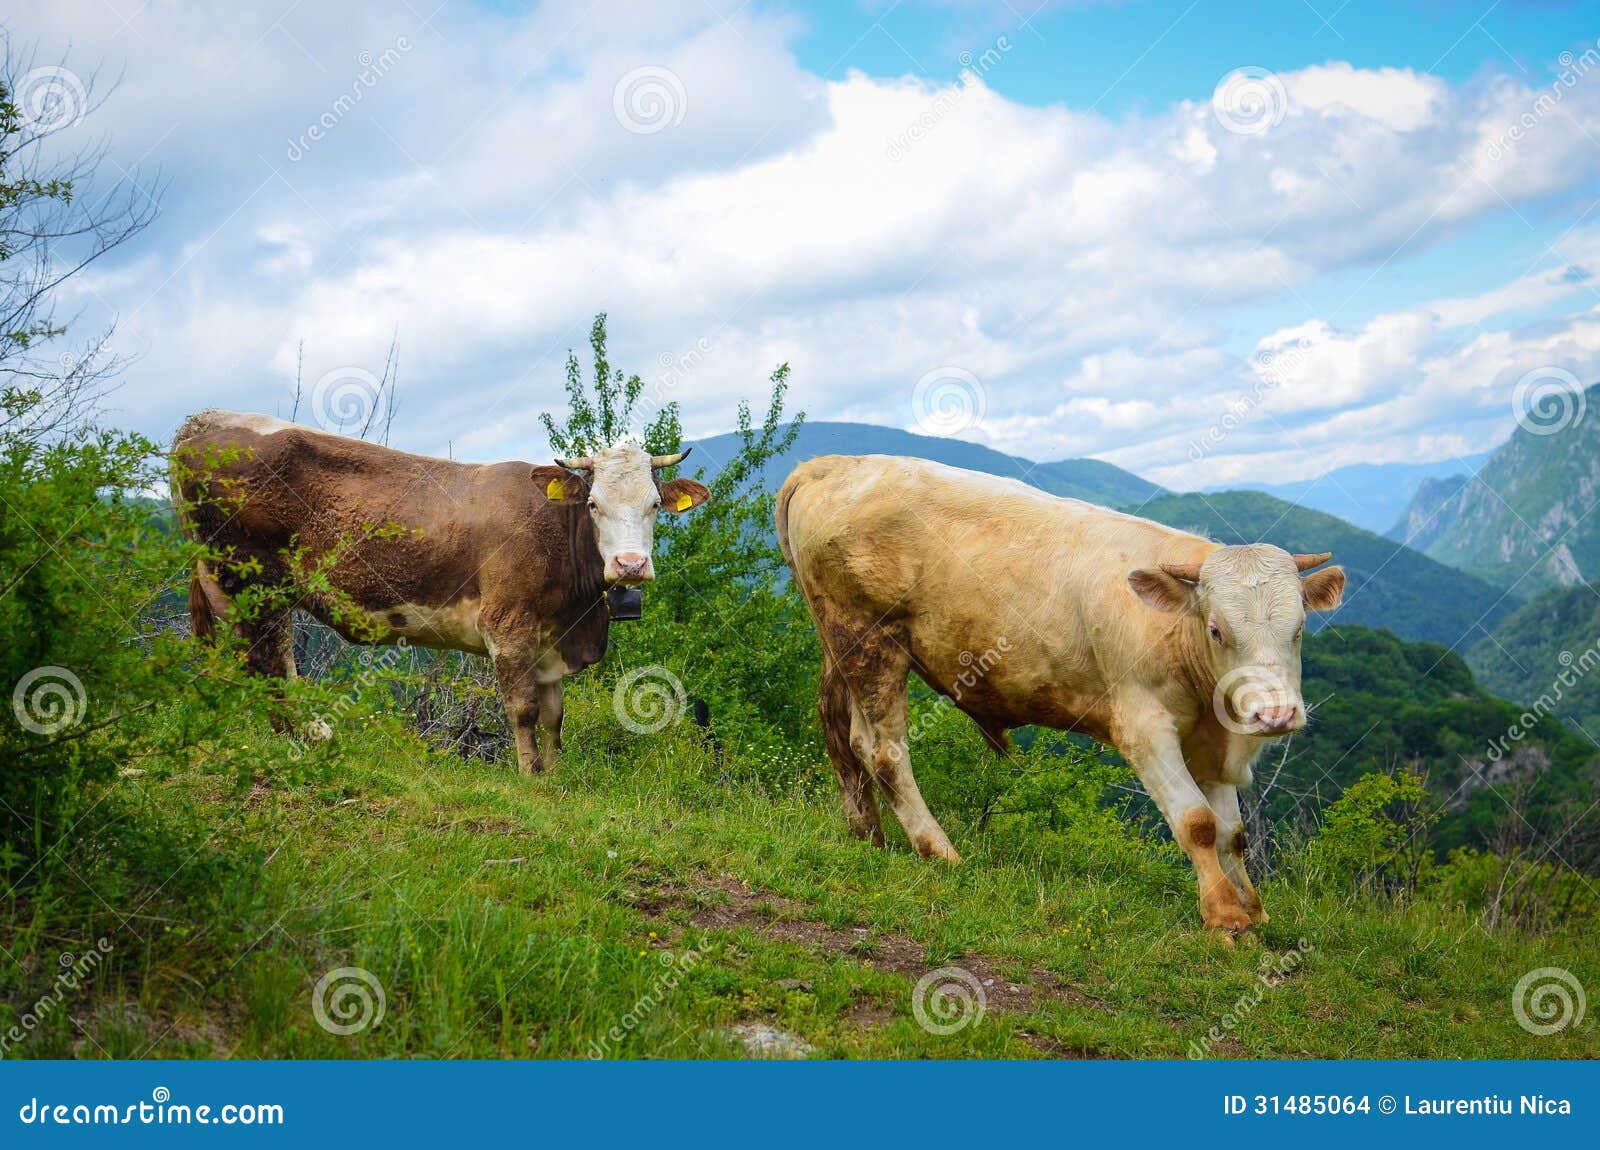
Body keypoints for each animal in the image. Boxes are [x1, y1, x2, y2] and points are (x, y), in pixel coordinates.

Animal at [169, 409, 708, 774]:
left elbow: (555, 716)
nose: (630, 564)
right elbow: (525, 710)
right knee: (270, 660)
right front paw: (531, 778)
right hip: (252, 582)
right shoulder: (507, 627)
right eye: (593, 504)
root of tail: (206, 419)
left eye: (655, 503)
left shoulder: (551, 640)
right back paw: (309, 735)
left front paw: (555, 777)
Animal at [776, 455, 1345, 933]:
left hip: (840, 646)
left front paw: (1253, 908)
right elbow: (1198, 823)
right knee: (883, 750)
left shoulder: (1213, 741)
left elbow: (1234, 833)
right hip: (870, 641)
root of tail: (830, 463)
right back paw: (940, 852)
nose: (1275, 714)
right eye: (1217, 630)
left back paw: (868, 837)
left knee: (843, 734)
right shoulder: (1144, 726)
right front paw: (1225, 917)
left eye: (1299, 629)